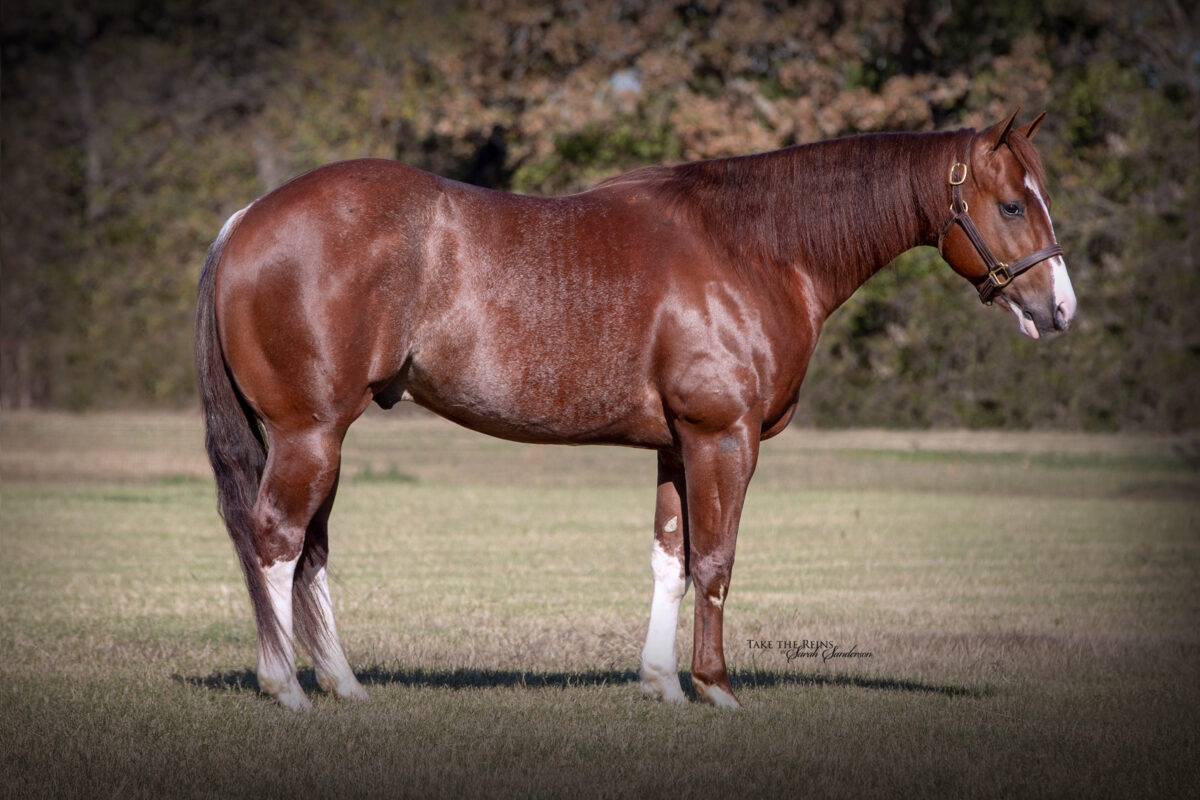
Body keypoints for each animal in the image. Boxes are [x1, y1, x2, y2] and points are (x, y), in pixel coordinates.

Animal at [195, 109, 1075, 710]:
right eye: (1011, 205)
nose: (1060, 308)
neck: (754, 248)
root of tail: (245, 220)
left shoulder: (677, 445)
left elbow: (670, 559)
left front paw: (662, 683)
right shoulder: (725, 437)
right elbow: (716, 560)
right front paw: (716, 687)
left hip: (321, 439)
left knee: (309, 551)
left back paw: (344, 685)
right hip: (310, 435)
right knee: (276, 539)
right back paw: (287, 689)